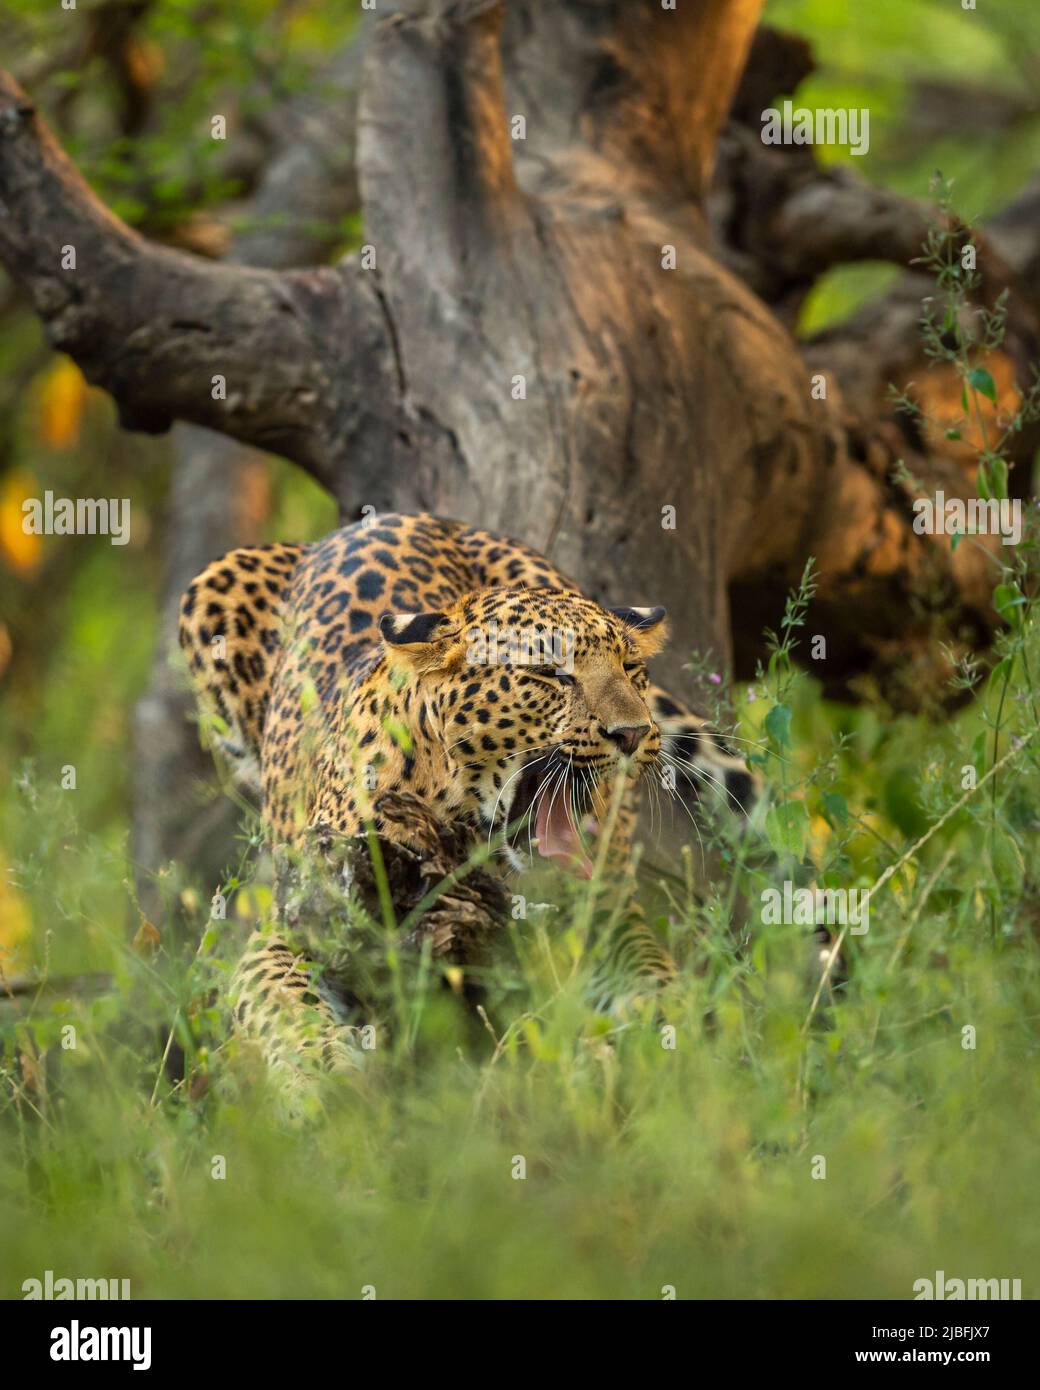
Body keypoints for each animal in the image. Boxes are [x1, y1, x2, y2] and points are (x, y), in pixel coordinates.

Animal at [178, 512, 757, 1097]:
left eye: (631, 666)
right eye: (550, 673)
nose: (634, 733)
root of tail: (413, 517)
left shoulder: (608, 916)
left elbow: (657, 986)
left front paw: (685, 1054)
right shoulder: (287, 928)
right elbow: (285, 1004)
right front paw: (325, 1084)